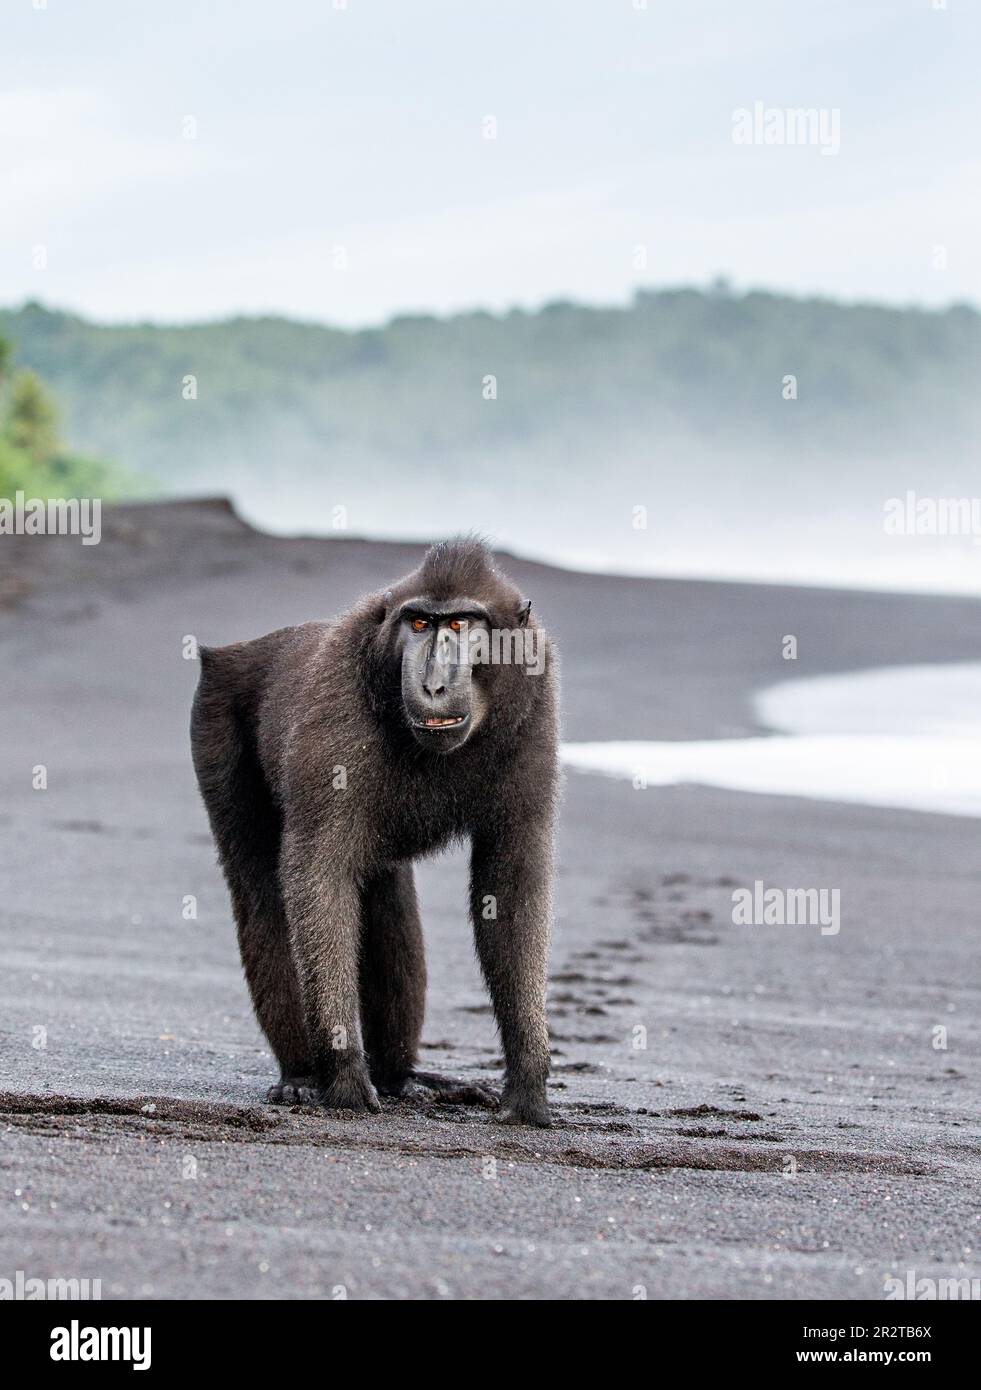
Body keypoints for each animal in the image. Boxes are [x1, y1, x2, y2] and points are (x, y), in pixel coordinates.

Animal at [190, 537, 559, 1126]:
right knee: (262, 893)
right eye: (419, 624)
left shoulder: (536, 705)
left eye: (460, 625)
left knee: (389, 903)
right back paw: (302, 1075)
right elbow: (319, 879)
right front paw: (343, 1076)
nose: (432, 683)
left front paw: (527, 1084)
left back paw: (400, 1076)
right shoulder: (335, 707)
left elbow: (511, 886)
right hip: (216, 717)